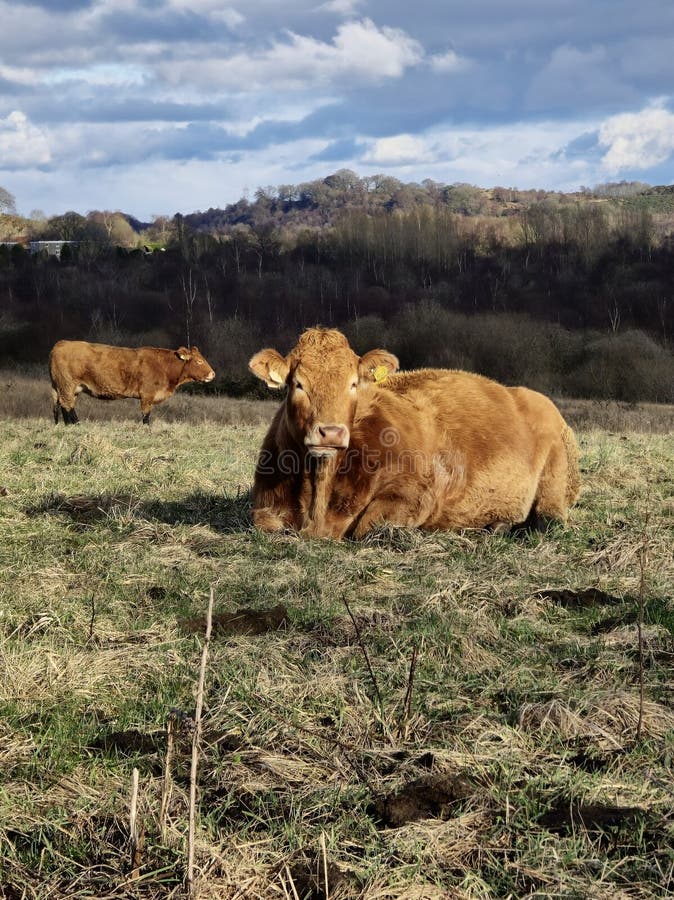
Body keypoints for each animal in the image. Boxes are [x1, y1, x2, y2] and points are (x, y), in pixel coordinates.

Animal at [49, 340, 215, 425]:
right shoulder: (147, 395)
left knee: (67, 405)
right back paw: (74, 424)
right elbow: (146, 416)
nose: (212, 374)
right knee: (66, 405)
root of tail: (60, 343)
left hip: (70, 388)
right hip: (66, 385)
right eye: (199, 361)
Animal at [249, 327, 580, 540]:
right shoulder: (264, 505)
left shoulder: (416, 492)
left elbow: (367, 527)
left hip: (555, 487)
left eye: (353, 383)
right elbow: (267, 524)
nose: (330, 432)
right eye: (298, 384)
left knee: (547, 520)